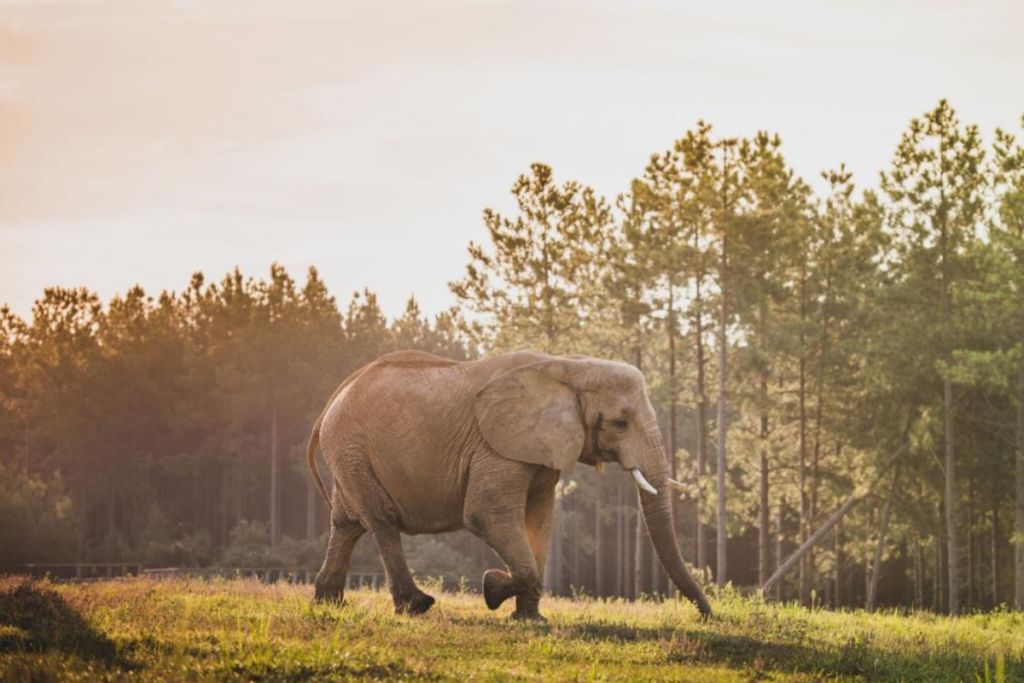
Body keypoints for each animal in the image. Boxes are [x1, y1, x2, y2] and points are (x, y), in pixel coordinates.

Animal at [305, 349, 712, 621]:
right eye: (621, 422)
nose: (707, 615)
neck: (571, 366)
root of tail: (330, 402)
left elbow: (540, 520)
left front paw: (531, 620)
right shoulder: (496, 445)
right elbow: (486, 514)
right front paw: (491, 588)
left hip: (350, 454)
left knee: (347, 524)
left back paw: (329, 603)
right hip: (352, 447)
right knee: (382, 520)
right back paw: (417, 606)